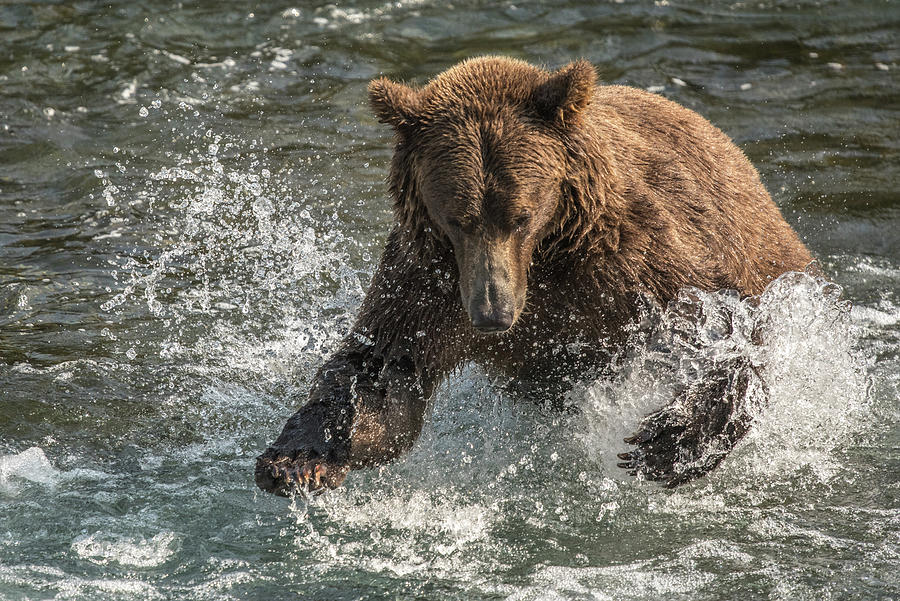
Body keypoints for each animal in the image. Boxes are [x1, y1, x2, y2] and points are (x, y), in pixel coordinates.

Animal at [254, 56, 813, 495]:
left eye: (519, 215)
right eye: (457, 217)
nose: (492, 313)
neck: (545, 257)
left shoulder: (636, 261)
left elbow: (719, 327)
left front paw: (667, 442)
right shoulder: (430, 279)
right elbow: (382, 370)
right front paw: (297, 460)